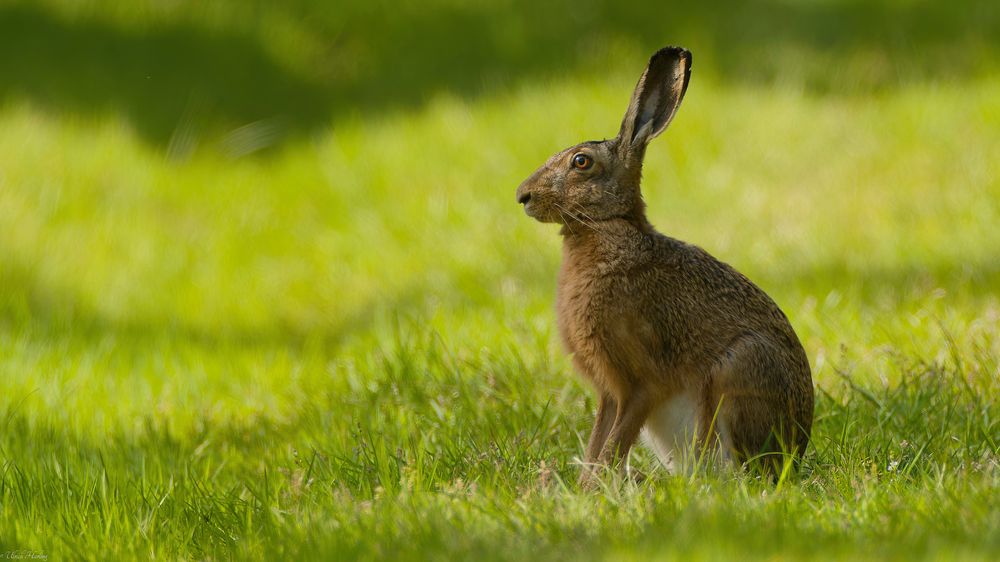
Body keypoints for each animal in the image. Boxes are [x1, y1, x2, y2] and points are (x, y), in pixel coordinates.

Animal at [515, 46, 813, 482]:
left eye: (581, 162)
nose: (523, 196)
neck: (610, 227)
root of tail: (796, 449)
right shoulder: (610, 392)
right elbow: (598, 441)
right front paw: (586, 485)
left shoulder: (641, 382)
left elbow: (614, 443)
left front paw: (593, 488)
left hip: (740, 369)